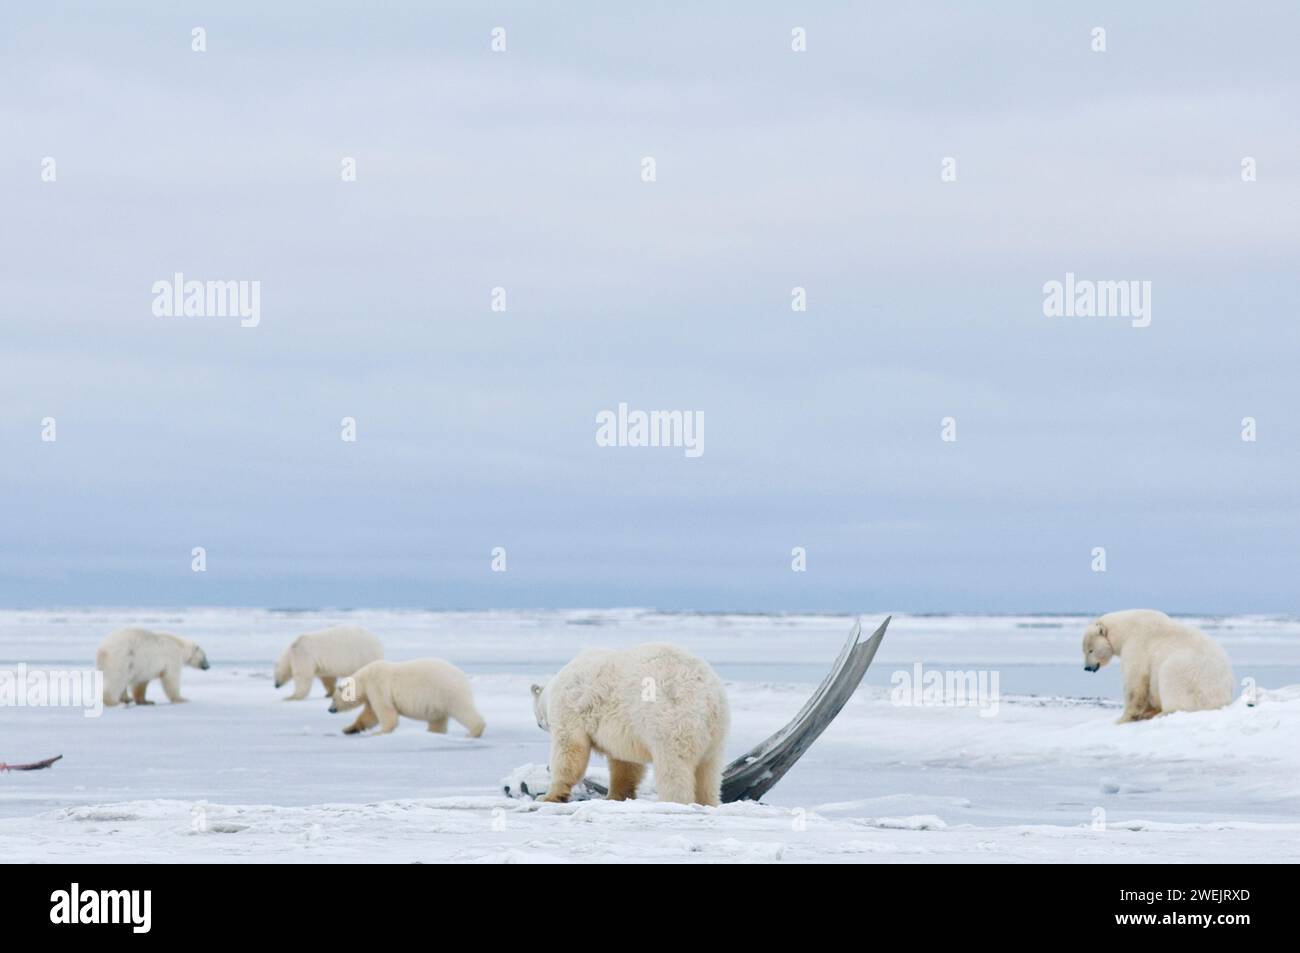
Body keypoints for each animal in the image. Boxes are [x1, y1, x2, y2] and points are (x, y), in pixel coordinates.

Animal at [329, 658, 485, 738]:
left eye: (334, 699)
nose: (330, 709)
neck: (365, 678)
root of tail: (463, 677)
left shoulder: (377, 686)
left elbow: (386, 711)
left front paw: (381, 732)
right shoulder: (371, 693)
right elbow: (370, 714)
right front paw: (349, 729)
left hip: (448, 691)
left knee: (463, 710)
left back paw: (474, 732)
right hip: (438, 701)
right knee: (438, 720)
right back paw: (433, 733)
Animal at [530, 642, 730, 806]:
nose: (540, 724)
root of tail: (707, 695)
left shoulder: (570, 709)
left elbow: (569, 751)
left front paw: (548, 796)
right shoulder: (624, 728)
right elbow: (626, 763)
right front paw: (615, 796)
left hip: (670, 718)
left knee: (673, 766)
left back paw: (673, 801)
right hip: (716, 732)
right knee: (709, 771)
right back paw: (707, 801)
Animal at [1082, 609, 1234, 722]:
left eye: (1090, 650)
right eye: (1084, 650)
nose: (1087, 668)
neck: (1125, 629)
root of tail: (1222, 700)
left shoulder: (1137, 644)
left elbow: (1135, 681)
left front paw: (1123, 718)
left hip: (1187, 670)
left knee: (1172, 679)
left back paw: (1160, 713)